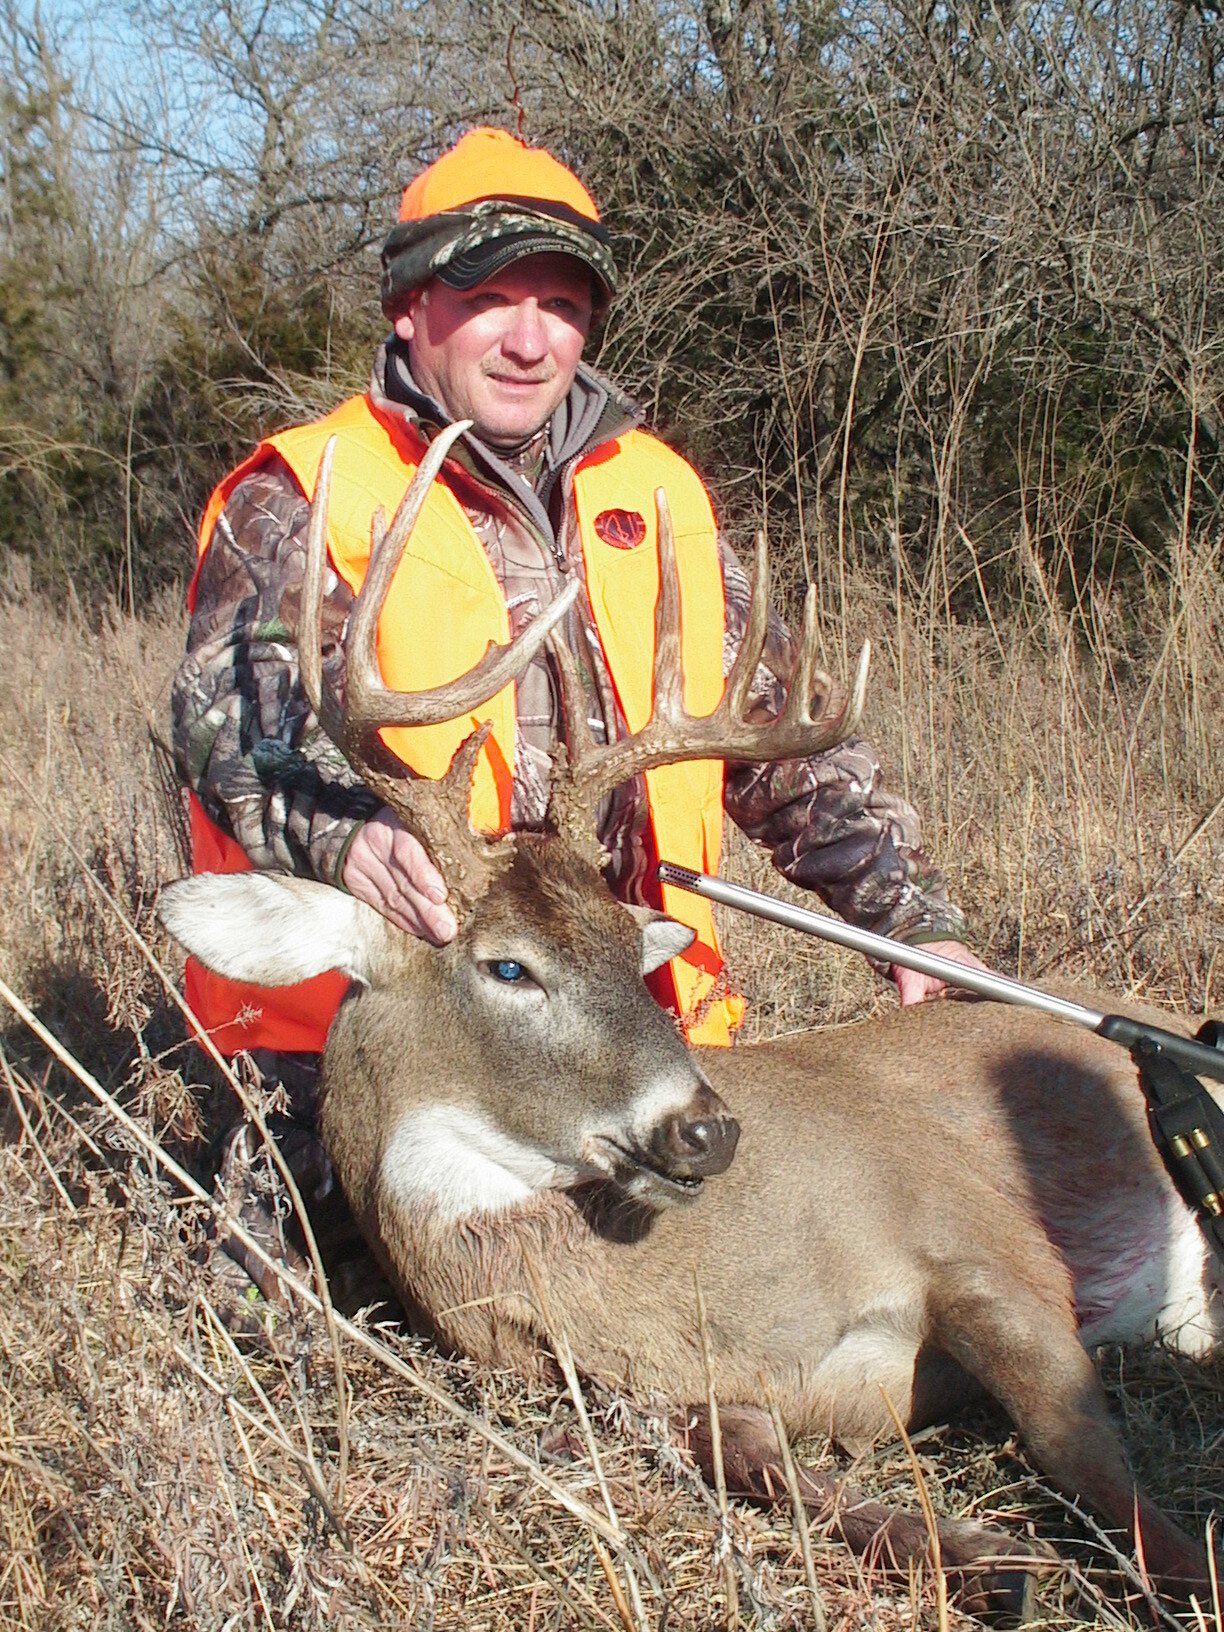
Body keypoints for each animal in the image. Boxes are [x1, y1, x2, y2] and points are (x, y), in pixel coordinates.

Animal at [160, 422, 1223, 1617]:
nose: (706, 1129)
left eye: (631, 955)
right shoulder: (675, 1396)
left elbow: (1084, 1453)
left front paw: (1184, 1571)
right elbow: (779, 1475)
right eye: (508, 966)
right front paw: (998, 1561)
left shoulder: (978, 1236)